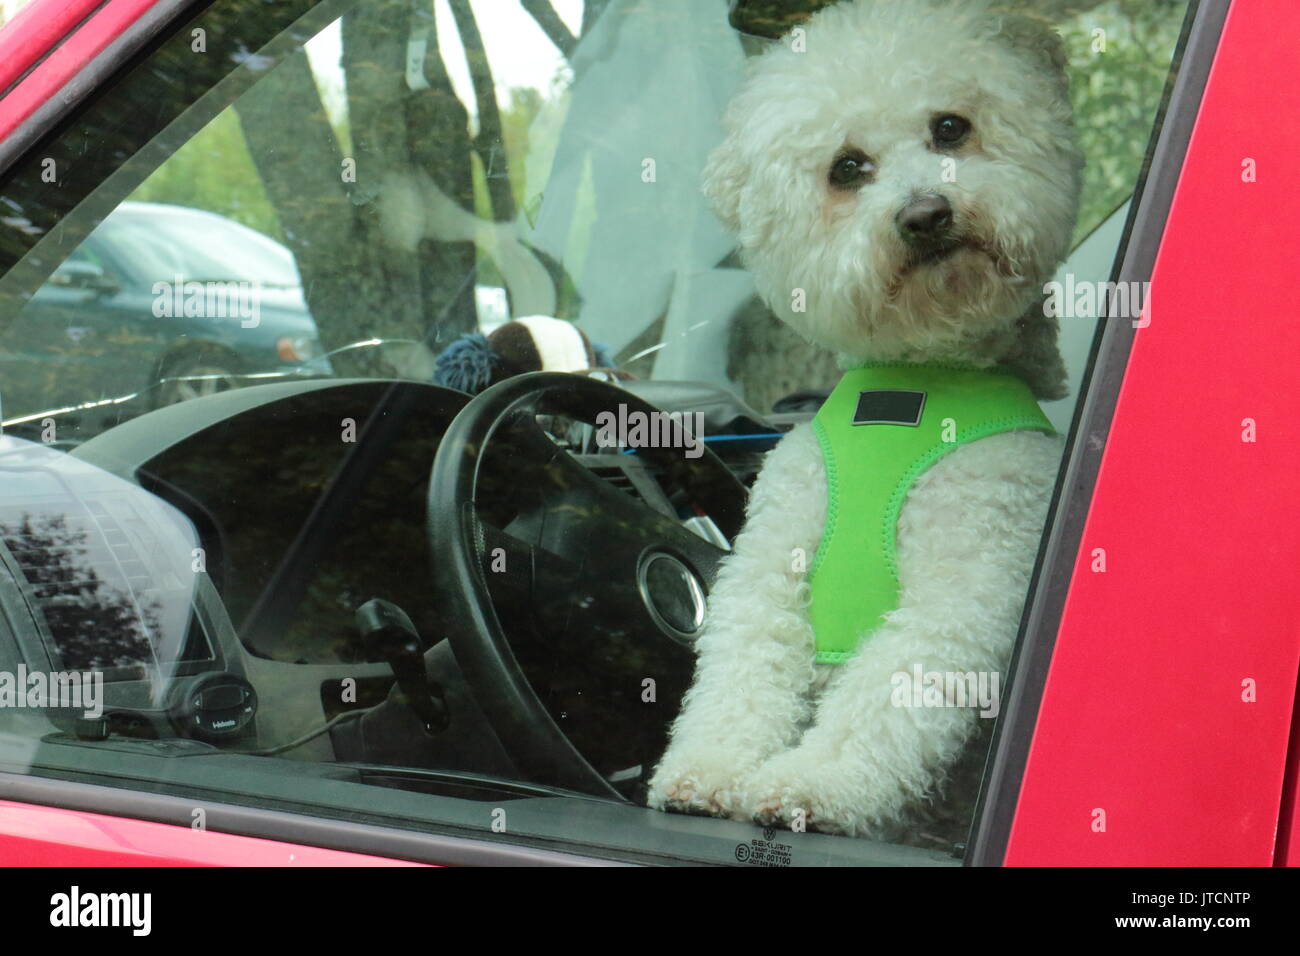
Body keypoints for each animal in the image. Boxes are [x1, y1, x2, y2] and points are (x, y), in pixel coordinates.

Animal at [650, 0, 1086, 837]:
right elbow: (741, 664)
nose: (925, 213)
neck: (916, 388)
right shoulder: (774, 557)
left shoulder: (971, 579)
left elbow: (889, 688)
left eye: (951, 128)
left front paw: (813, 782)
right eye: (847, 169)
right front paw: (707, 767)